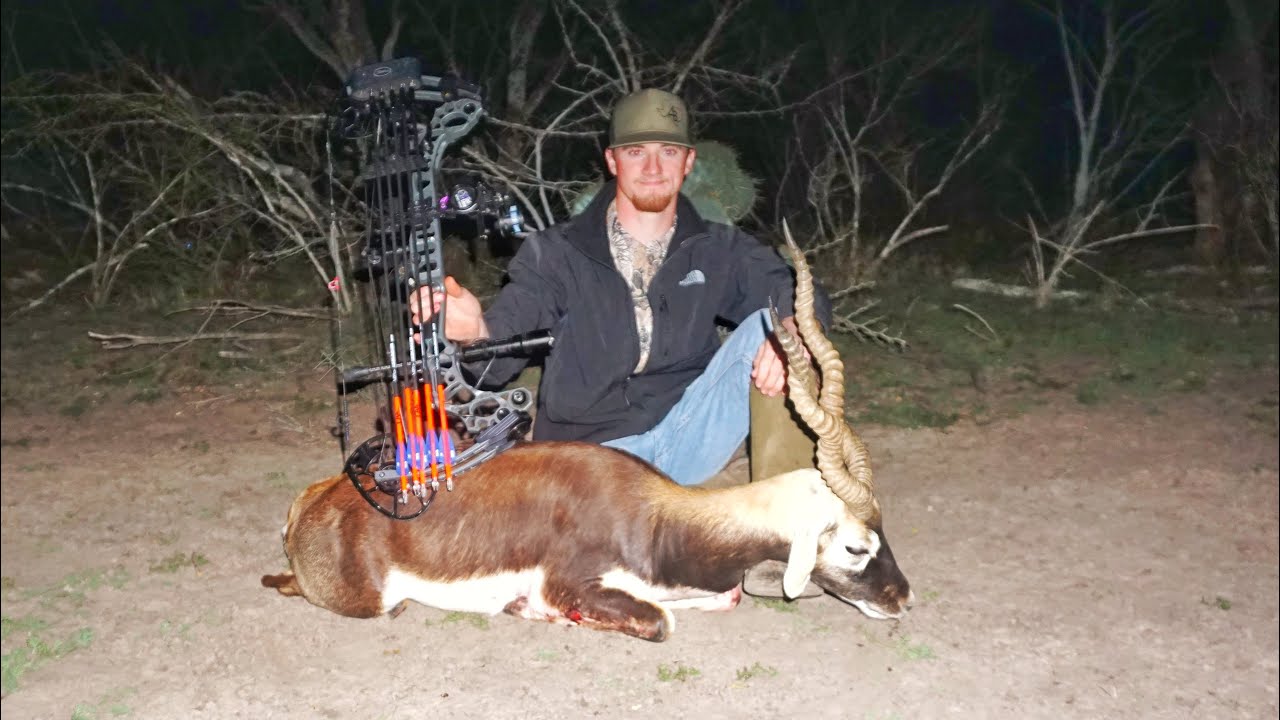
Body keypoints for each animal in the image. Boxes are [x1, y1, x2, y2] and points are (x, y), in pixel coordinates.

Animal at [262, 229, 911, 641]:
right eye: (856, 547)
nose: (903, 598)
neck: (656, 521)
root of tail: (311, 507)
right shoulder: (573, 583)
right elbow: (660, 621)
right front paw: (533, 613)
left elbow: (724, 596)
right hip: (369, 600)